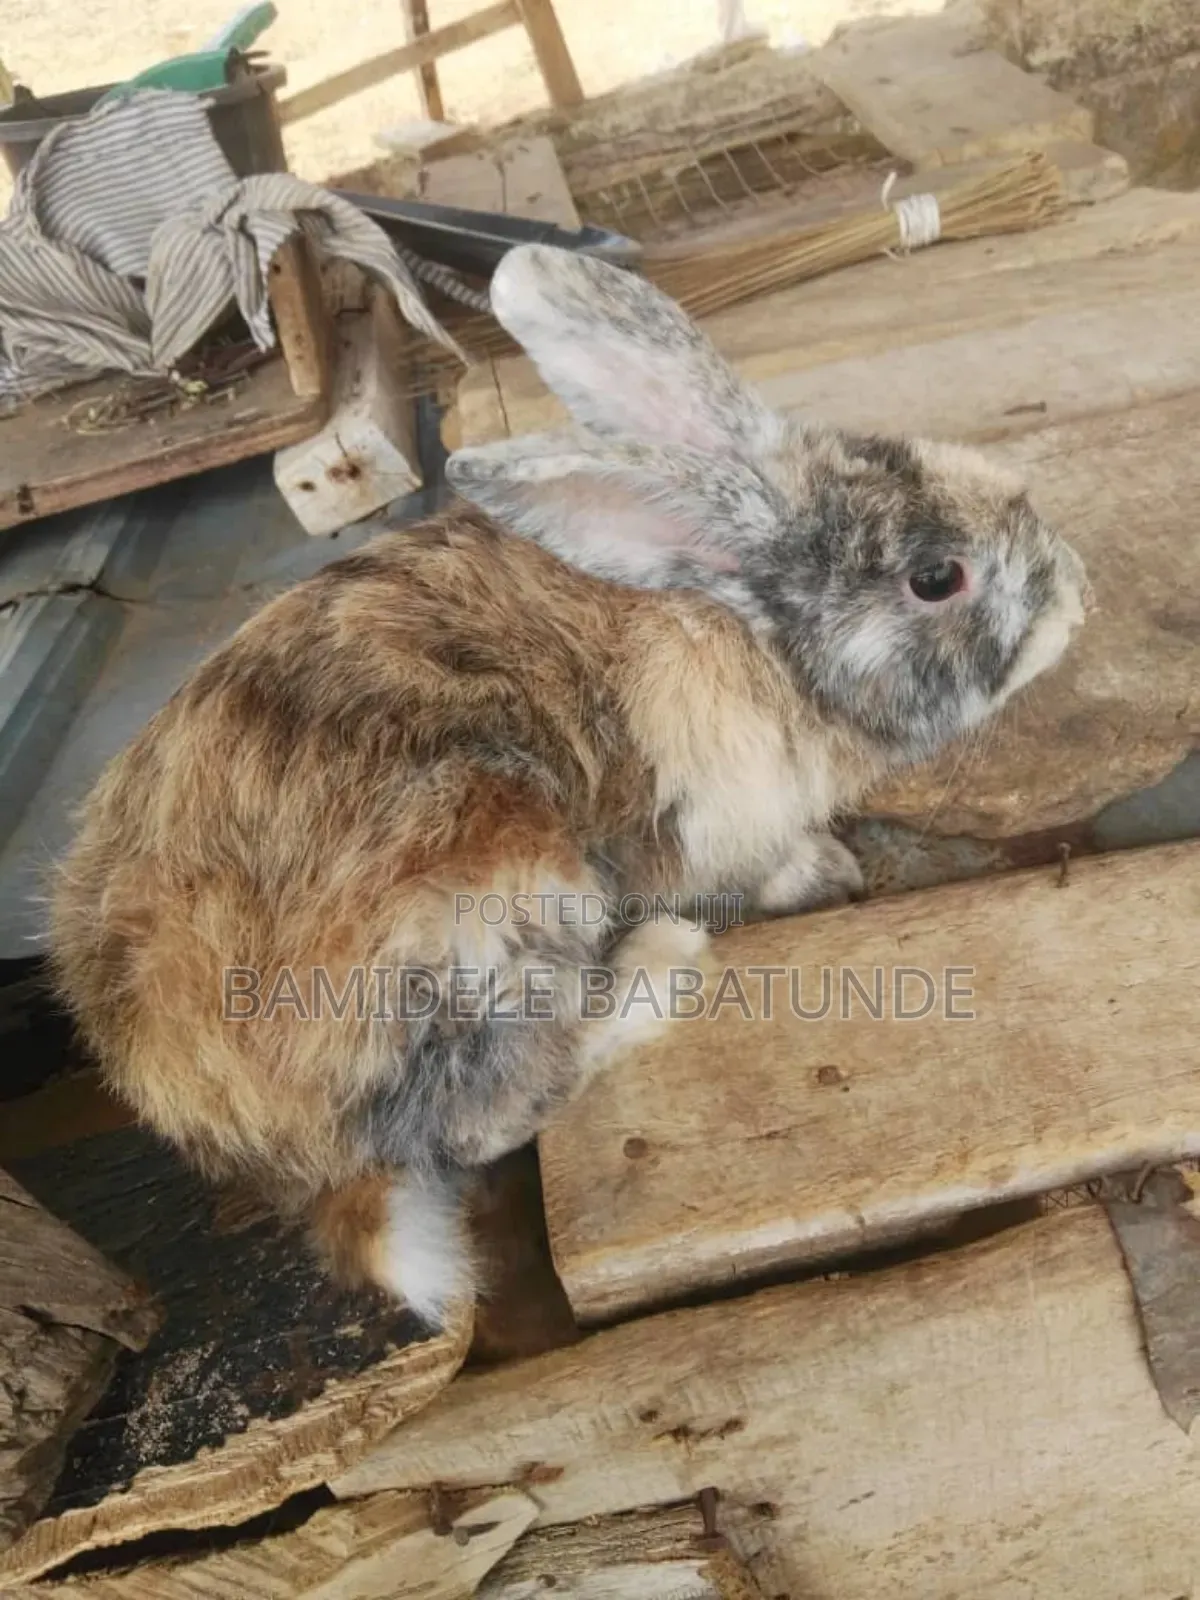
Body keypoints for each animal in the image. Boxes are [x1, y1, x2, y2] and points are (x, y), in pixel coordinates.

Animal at [47, 242, 1088, 1332]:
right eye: (937, 577)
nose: (1076, 596)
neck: (750, 626)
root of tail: (234, 1116)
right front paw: (820, 872)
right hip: (501, 887)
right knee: (489, 1114)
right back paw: (659, 967)